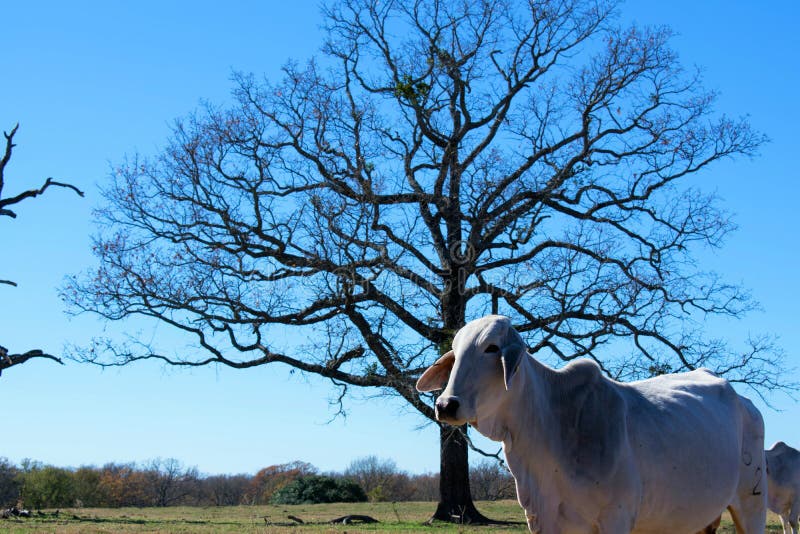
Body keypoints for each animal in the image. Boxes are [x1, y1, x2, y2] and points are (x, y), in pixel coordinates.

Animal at [416, 315, 767, 533]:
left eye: (491, 348)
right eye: (455, 352)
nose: (445, 405)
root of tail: (746, 404)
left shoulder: (616, 519)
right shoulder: (543, 520)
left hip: (753, 504)